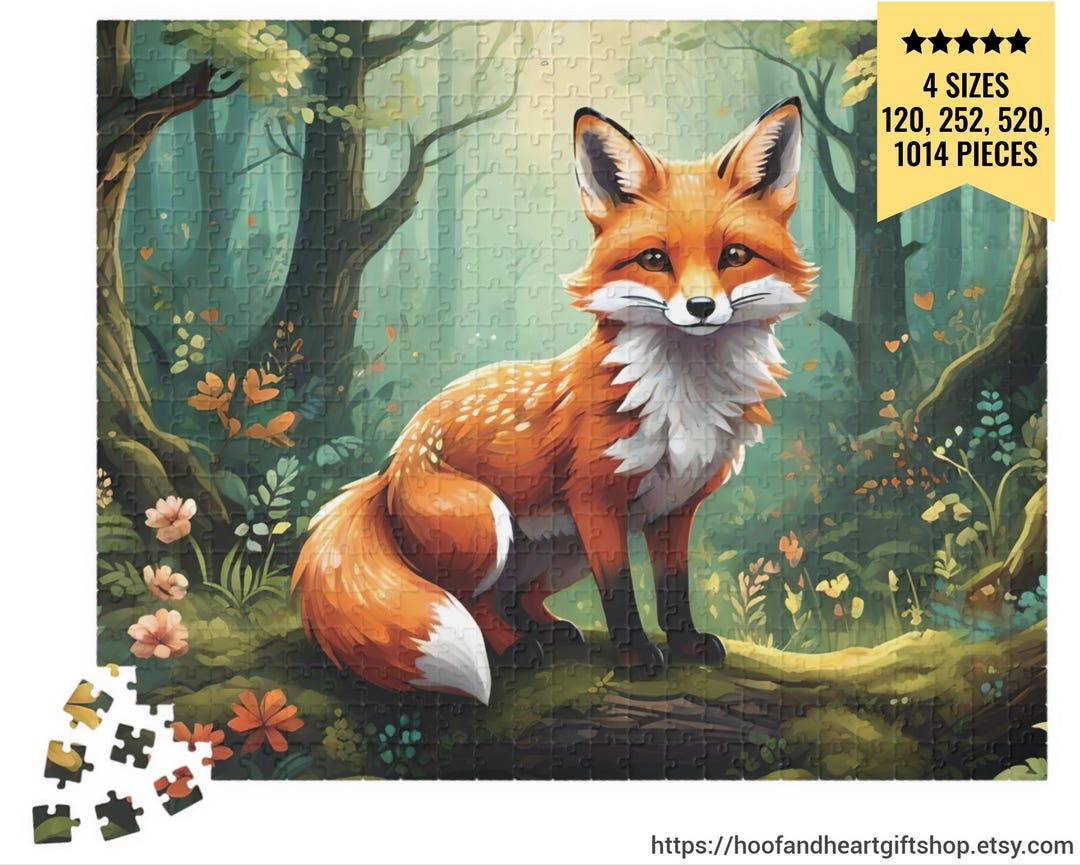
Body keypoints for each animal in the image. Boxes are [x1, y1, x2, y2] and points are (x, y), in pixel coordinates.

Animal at [292, 98, 816, 703]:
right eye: (654, 259)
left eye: (734, 255)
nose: (702, 307)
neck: (686, 398)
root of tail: (388, 470)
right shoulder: (595, 499)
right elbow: (619, 590)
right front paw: (635, 655)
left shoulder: (674, 508)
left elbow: (673, 588)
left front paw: (685, 643)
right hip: (488, 523)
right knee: (471, 602)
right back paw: (514, 649)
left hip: (561, 552)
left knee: (516, 598)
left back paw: (545, 630)